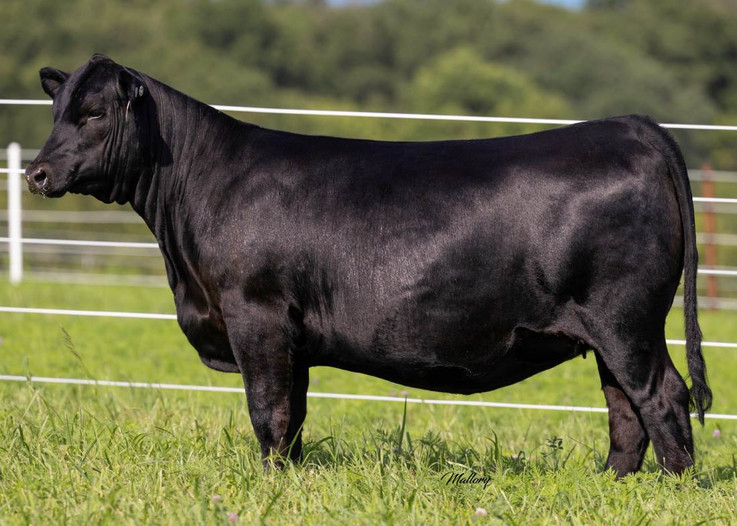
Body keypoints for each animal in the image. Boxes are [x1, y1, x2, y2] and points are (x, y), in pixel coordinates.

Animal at [26, 54, 711, 477]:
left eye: (94, 113)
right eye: (56, 112)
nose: (37, 173)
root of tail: (631, 126)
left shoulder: (257, 315)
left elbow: (267, 410)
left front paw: (269, 482)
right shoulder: (292, 336)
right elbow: (293, 414)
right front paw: (289, 478)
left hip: (626, 320)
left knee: (660, 396)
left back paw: (674, 488)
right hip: (607, 331)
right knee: (624, 408)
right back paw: (612, 484)